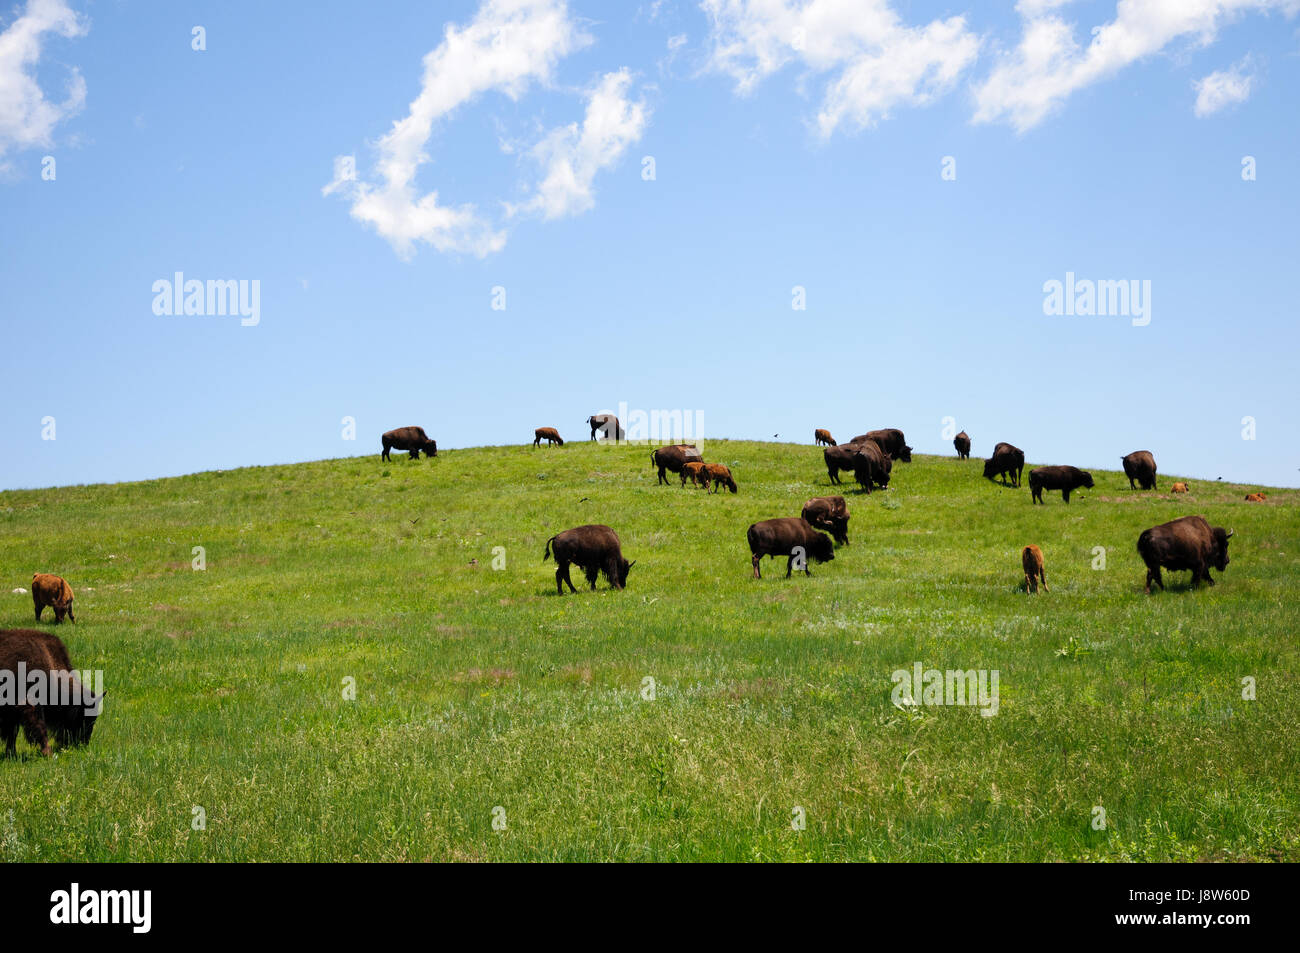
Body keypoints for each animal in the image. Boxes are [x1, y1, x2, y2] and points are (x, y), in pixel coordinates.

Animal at [1, 629, 101, 757]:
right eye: (83, 716)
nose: (83, 743)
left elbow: (13, 733)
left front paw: (11, 754)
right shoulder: (31, 705)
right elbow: (39, 727)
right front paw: (48, 753)